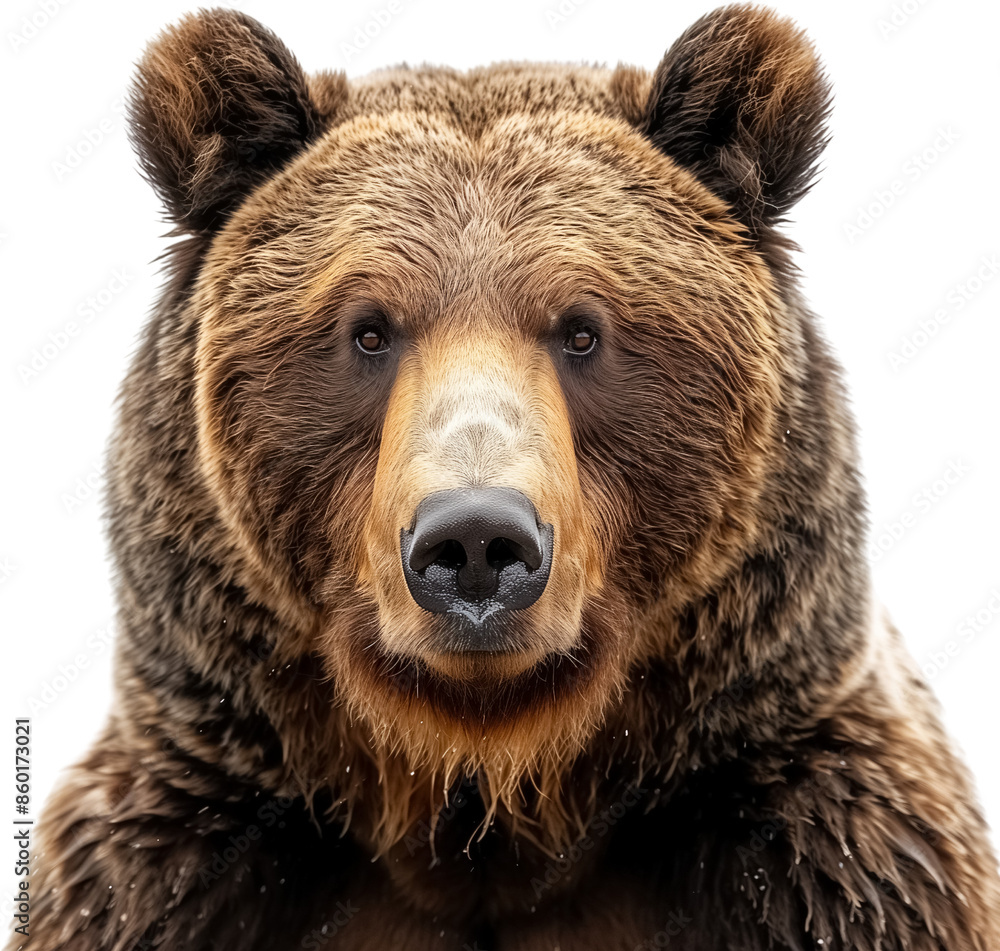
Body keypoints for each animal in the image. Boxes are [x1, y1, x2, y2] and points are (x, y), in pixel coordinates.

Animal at [14, 4, 1000, 950]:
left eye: (582, 329)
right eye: (367, 330)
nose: (477, 540)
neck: (490, 791)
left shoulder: (821, 851)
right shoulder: (176, 863)